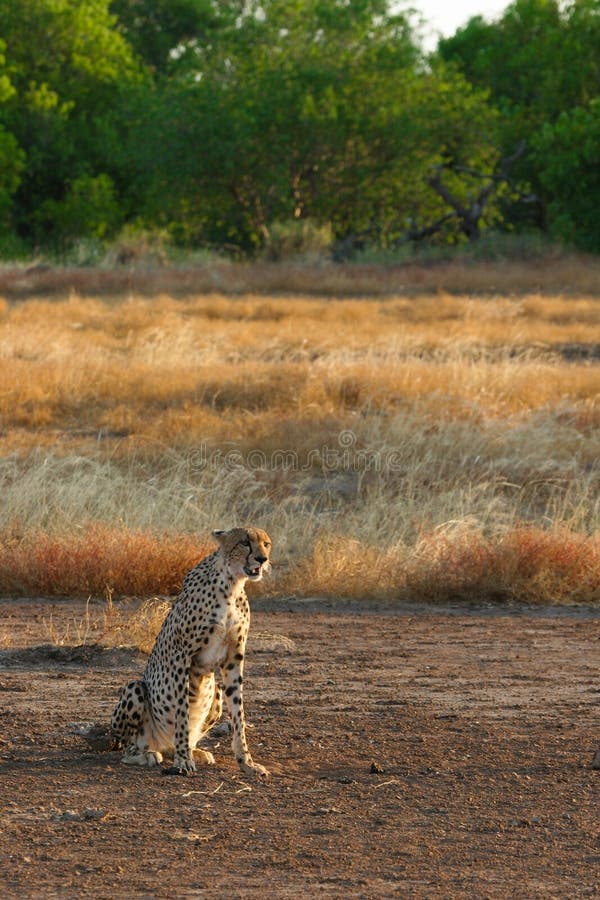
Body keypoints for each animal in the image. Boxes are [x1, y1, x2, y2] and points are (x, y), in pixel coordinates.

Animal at [111, 525, 271, 778]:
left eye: (266, 544)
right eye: (245, 542)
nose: (262, 559)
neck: (232, 585)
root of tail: (161, 744)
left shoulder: (234, 659)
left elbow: (239, 714)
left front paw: (246, 762)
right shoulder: (182, 655)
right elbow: (182, 712)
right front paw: (183, 760)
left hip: (216, 691)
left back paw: (194, 751)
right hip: (134, 689)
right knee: (127, 746)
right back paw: (146, 754)